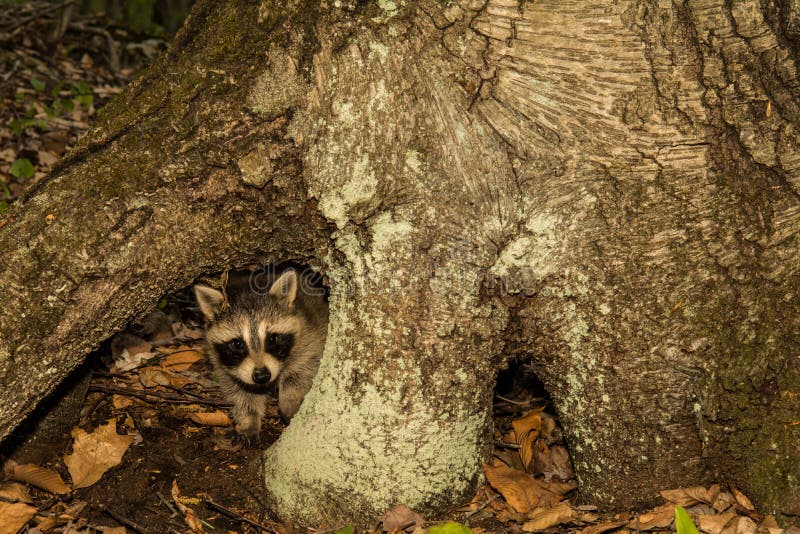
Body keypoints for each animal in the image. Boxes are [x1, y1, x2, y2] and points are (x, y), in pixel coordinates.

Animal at [194, 269, 328, 442]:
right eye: (237, 344)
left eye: (272, 339)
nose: (262, 376)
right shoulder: (220, 362)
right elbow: (240, 391)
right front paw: (249, 419)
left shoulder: (311, 335)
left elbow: (304, 367)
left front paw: (290, 399)